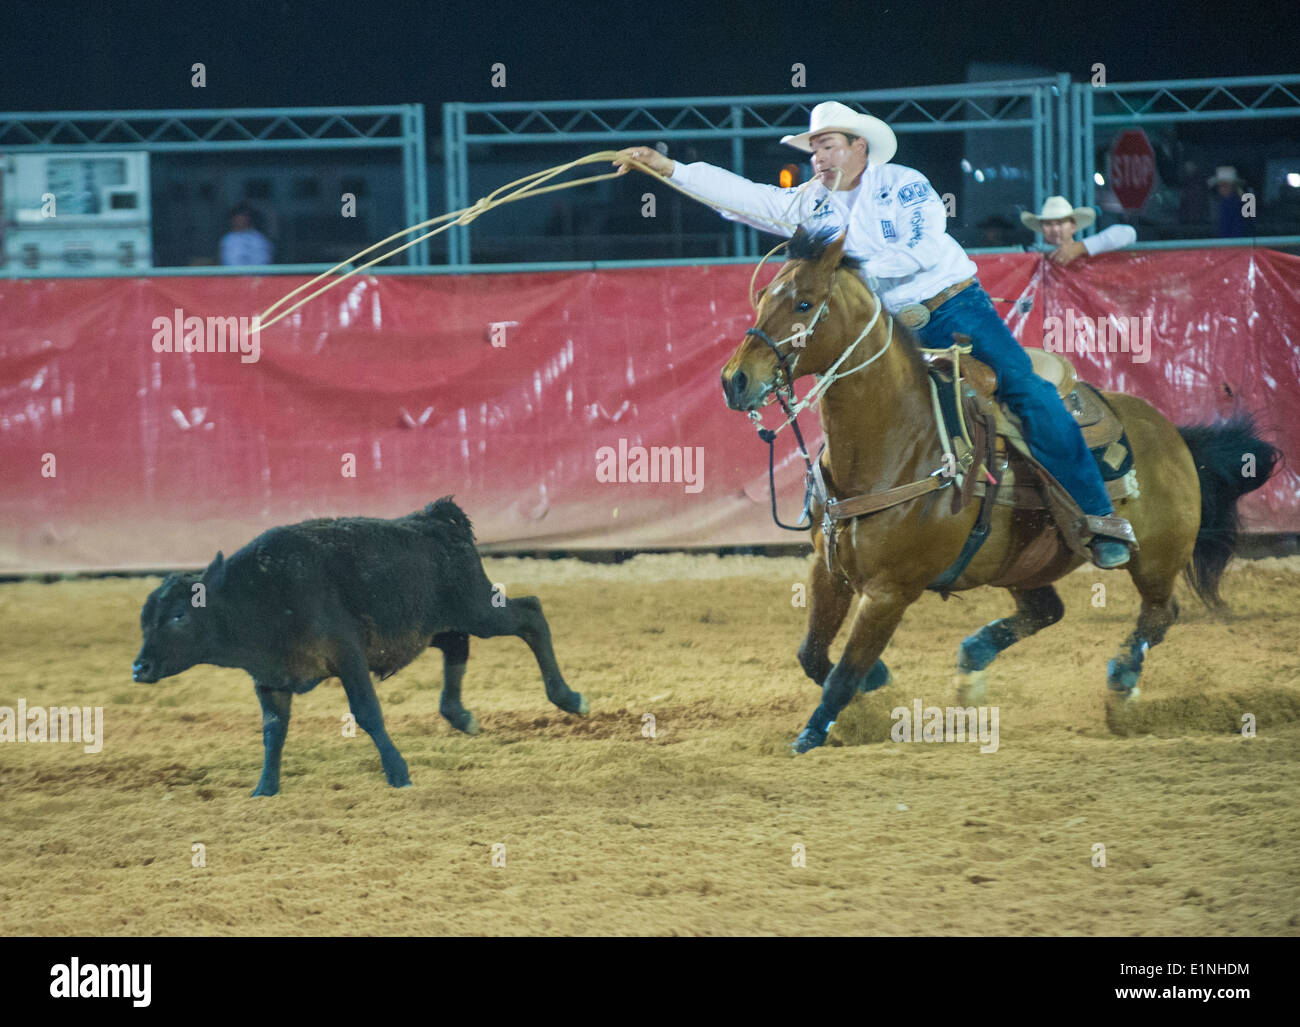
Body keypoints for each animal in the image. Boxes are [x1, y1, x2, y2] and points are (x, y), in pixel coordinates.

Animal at [132, 498, 587, 795]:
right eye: (145, 619)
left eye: (179, 616)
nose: (140, 667)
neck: (259, 595)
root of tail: (437, 519)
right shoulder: (271, 680)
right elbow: (273, 732)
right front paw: (265, 787)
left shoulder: (347, 657)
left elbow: (368, 714)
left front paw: (398, 772)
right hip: (442, 622)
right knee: (457, 649)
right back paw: (461, 716)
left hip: (478, 608)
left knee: (531, 615)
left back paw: (568, 697)